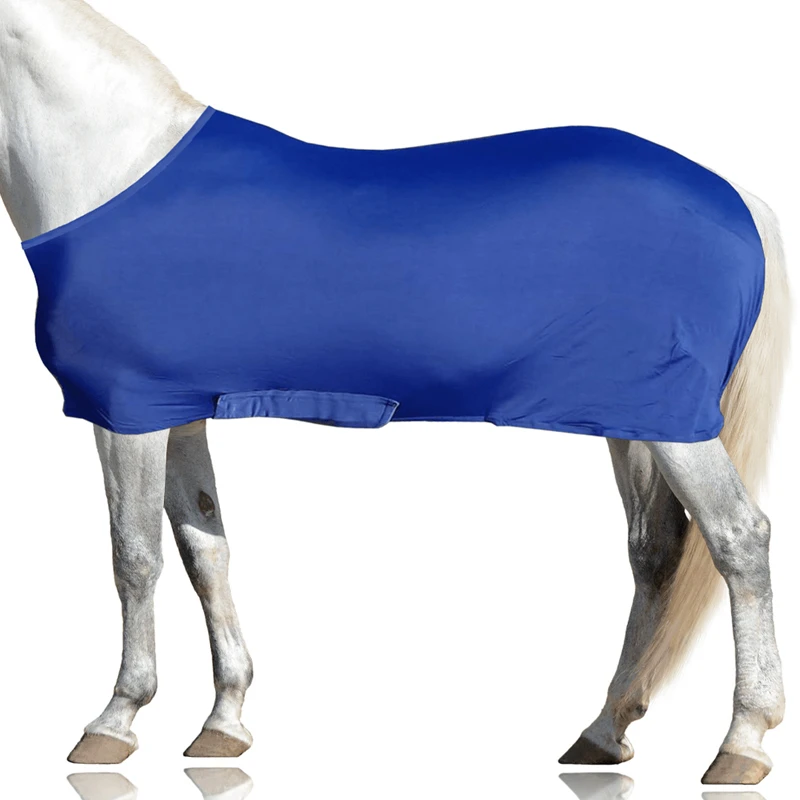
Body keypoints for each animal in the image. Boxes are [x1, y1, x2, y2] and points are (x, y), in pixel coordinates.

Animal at [0, 0, 790, 785]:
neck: (113, 163)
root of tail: (738, 197)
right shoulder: (178, 414)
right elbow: (206, 554)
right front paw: (223, 721)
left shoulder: (126, 413)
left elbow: (134, 558)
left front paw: (114, 720)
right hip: (631, 417)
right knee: (655, 553)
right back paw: (602, 733)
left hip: (673, 423)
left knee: (738, 539)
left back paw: (742, 742)